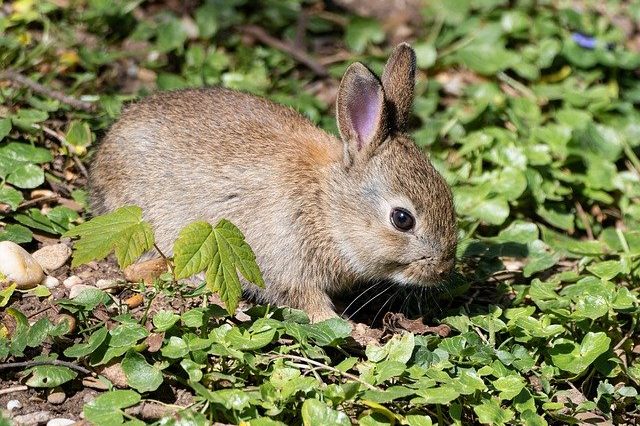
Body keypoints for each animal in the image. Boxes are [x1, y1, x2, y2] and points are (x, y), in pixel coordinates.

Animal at [89, 43, 458, 322]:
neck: (326, 208)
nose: (443, 270)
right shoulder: (286, 266)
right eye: (402, 219)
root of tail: (105, 152)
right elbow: (307, 301)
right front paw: (346, 328)